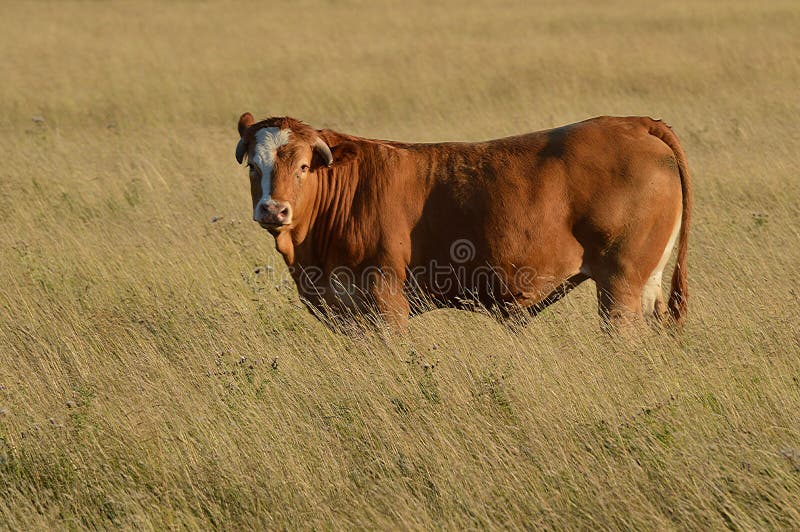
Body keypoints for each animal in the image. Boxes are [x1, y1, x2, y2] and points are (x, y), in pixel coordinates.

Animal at [234, 113, 692, 331]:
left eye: (304, 167)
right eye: (254, 167)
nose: (274, 210)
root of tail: (634, 123)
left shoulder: (386, 304)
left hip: (621, 285)